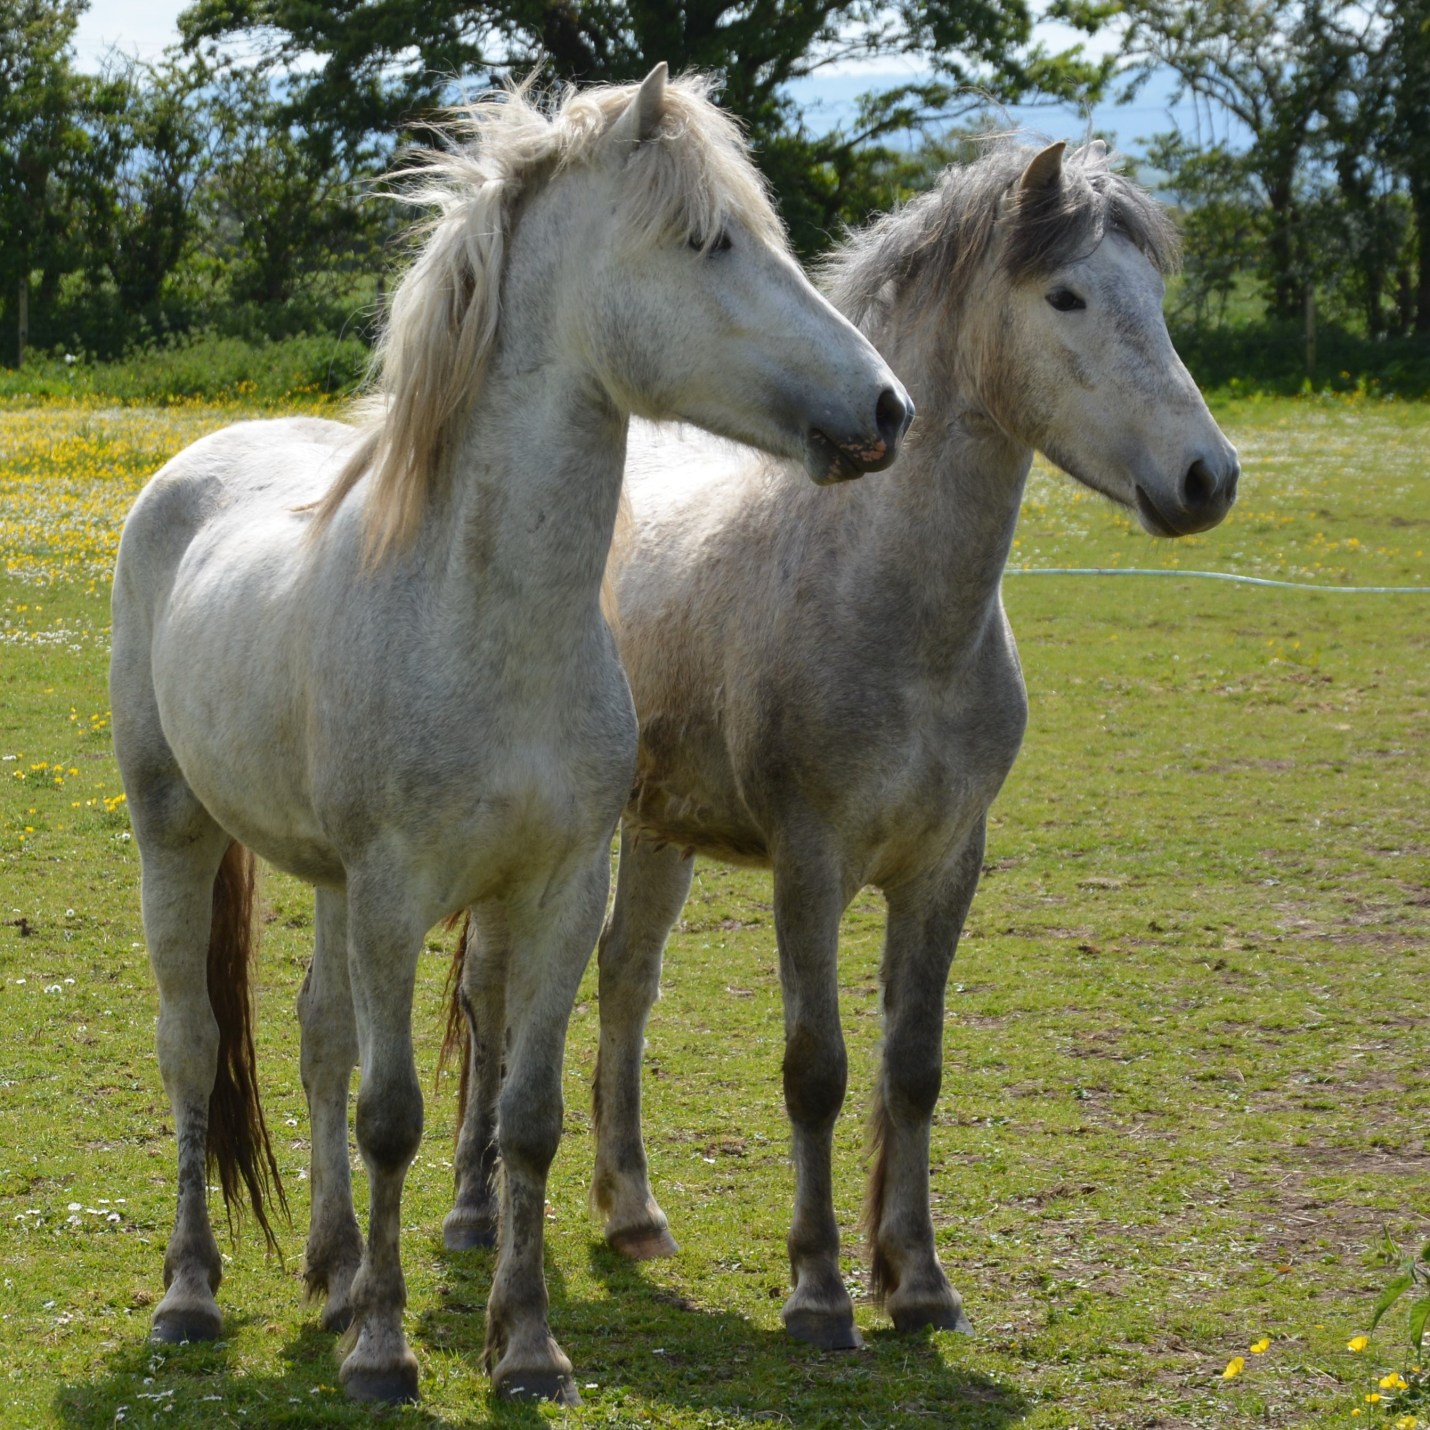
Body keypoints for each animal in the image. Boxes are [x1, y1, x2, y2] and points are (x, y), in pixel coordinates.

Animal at [108, 65, 912, 1407]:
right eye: (707, 240)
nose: (887, 407)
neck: (484, 617)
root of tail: (196, 462)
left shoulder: (558, 887)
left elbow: (523, 1114)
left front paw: (525, 1343)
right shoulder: (396, 891)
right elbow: (393, 1114)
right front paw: (386, 1355)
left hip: (327, 877)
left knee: (318, 1037)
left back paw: (334, 1268)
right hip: (174, 828)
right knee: (193, 1044)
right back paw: (190, 1293)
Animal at [441, 136, 1240, 1353]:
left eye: (1153, 294)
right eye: (1064, 295)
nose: (1207, 477)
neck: (897, 614)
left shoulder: (947, 863)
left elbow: (912, 1069)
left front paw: (917, 1279)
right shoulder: (810, 865)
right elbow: (816, 1069)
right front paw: (818, 1287)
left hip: (655, 830)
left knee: (626, 981)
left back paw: (632, 1211)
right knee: (492, 999)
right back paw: (475, 1212)